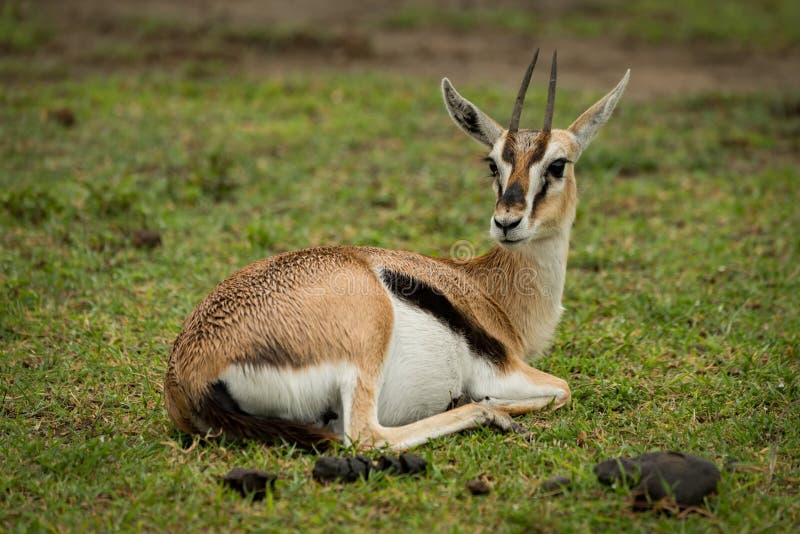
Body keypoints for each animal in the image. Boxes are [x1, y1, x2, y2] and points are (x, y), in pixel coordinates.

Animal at [165, 50, 630, 450]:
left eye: (558, 164)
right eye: (492, 164)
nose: (506, 222)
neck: (490, 292)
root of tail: (186, 374)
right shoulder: (505, 371)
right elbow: (563, 389)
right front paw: (487, 404)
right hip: (367, 350)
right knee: (368, 437)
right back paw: (483, 413)